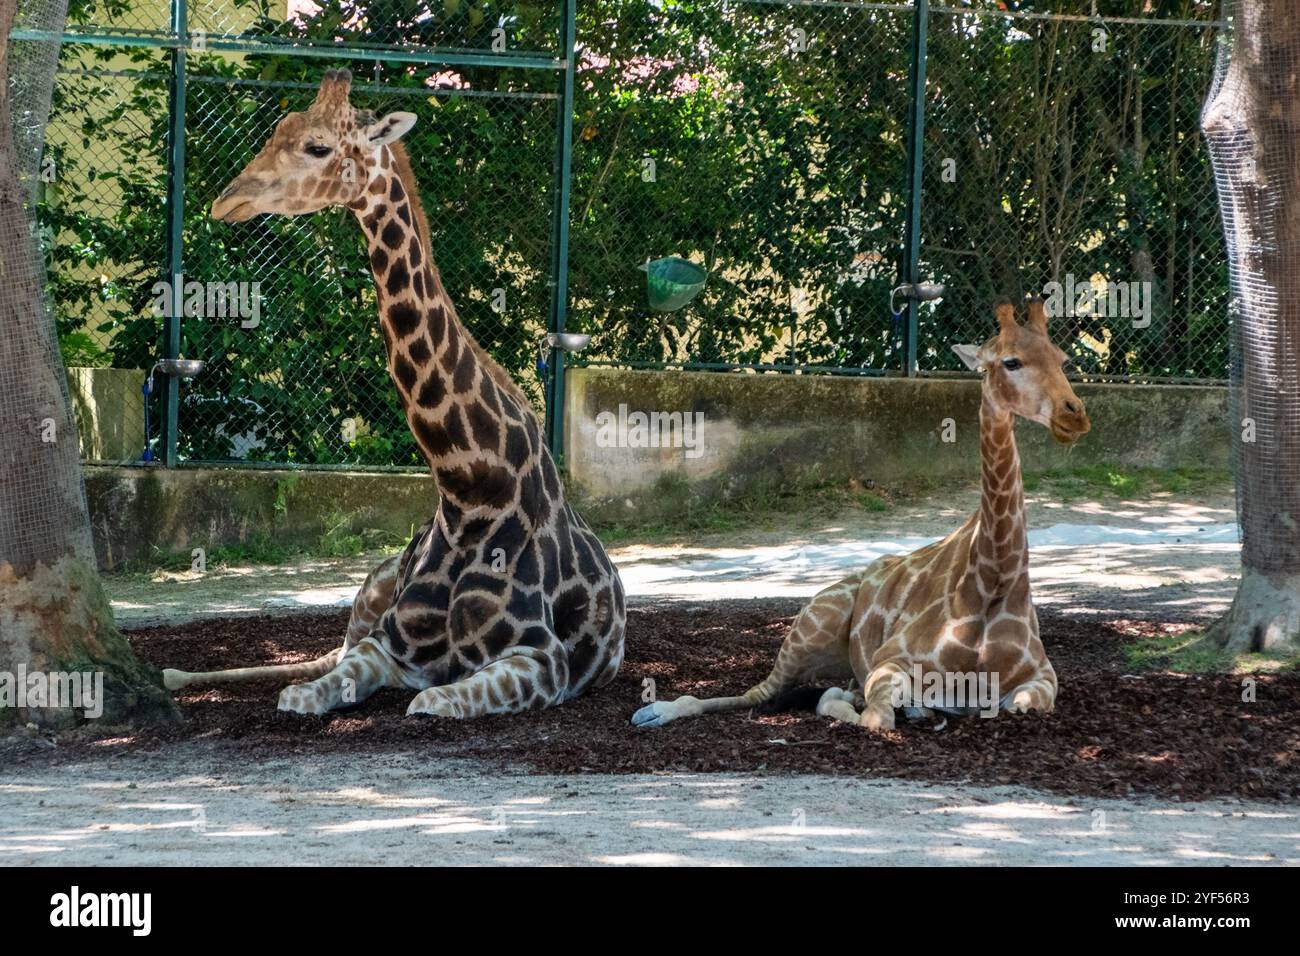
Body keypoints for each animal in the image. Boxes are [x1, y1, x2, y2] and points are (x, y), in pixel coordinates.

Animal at [163, 70, 626, 719]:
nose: (227, 199)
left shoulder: (542, 659)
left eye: (318, 147)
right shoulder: (388, 644)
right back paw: (176, 673)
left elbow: (431, 701)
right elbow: (306, 691)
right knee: (322, 653)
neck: (468, 490)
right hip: (372, 585)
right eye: (280, 129)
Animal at [632, 297, 1090, 732]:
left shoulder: (1041, 678)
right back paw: (656, 711)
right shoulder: (890, 662)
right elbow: (872, 717)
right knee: (759, 693)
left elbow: (1017, 706)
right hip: (813, 625)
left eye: (1063, 359)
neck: (993, 583)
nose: (1074, 415)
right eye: (1010, 362)